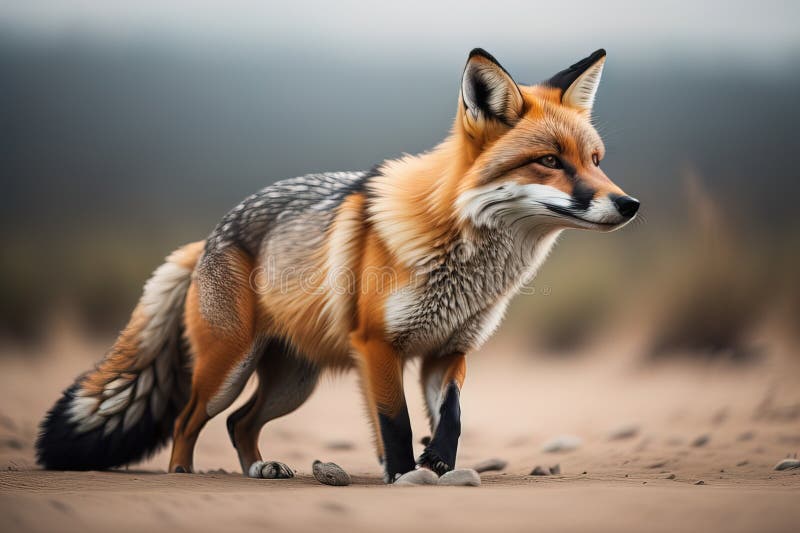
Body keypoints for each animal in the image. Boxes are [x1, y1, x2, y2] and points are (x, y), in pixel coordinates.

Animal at [37, 48, 639, 483]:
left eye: (595, 161)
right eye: (549, 161)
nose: (629, 204)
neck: (456, 251)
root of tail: (209, 235)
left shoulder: (448, 350)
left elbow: (451, 416)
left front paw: (439, 464)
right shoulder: (377, 347)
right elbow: (395, 423)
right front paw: (404, 475)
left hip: (291, 383)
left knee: (238, 423)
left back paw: (260, 468)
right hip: (226, 368)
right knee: (189, 420)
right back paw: (182, 473)